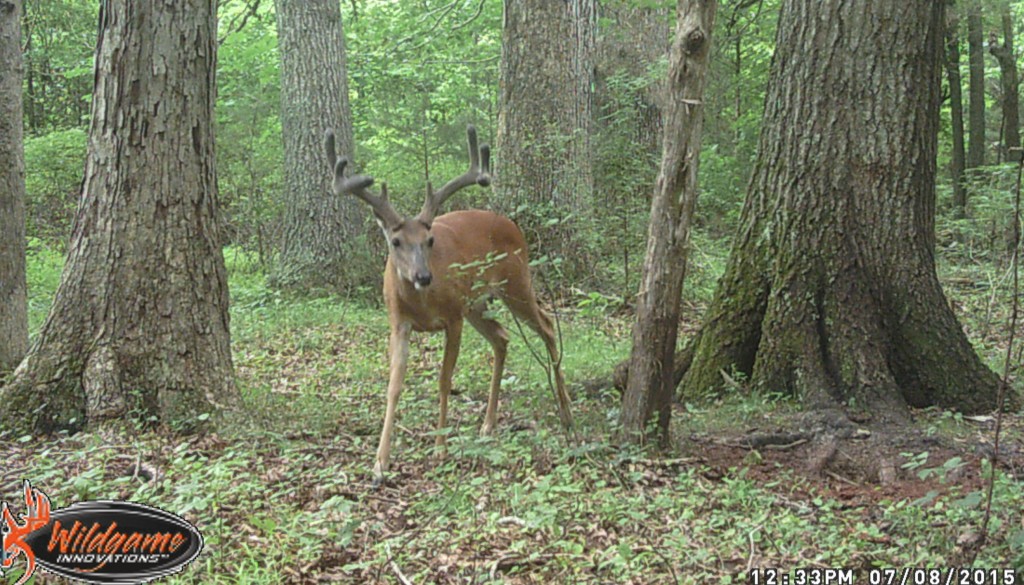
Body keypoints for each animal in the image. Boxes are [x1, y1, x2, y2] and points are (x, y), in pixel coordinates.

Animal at [324, 125, 574, 485]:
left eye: (430, 240)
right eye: (395, 241)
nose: (423, 276)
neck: (422, 304)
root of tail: (512, 224)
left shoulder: (453, 318)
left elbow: (444, 380)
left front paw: (440, 447)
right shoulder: (398, 323)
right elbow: (394, 386)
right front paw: (380, 463)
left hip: (514, 283)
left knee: (548, 326)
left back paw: (566, 413)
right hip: (477, 305)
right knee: (502, 337)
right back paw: (488, 424)